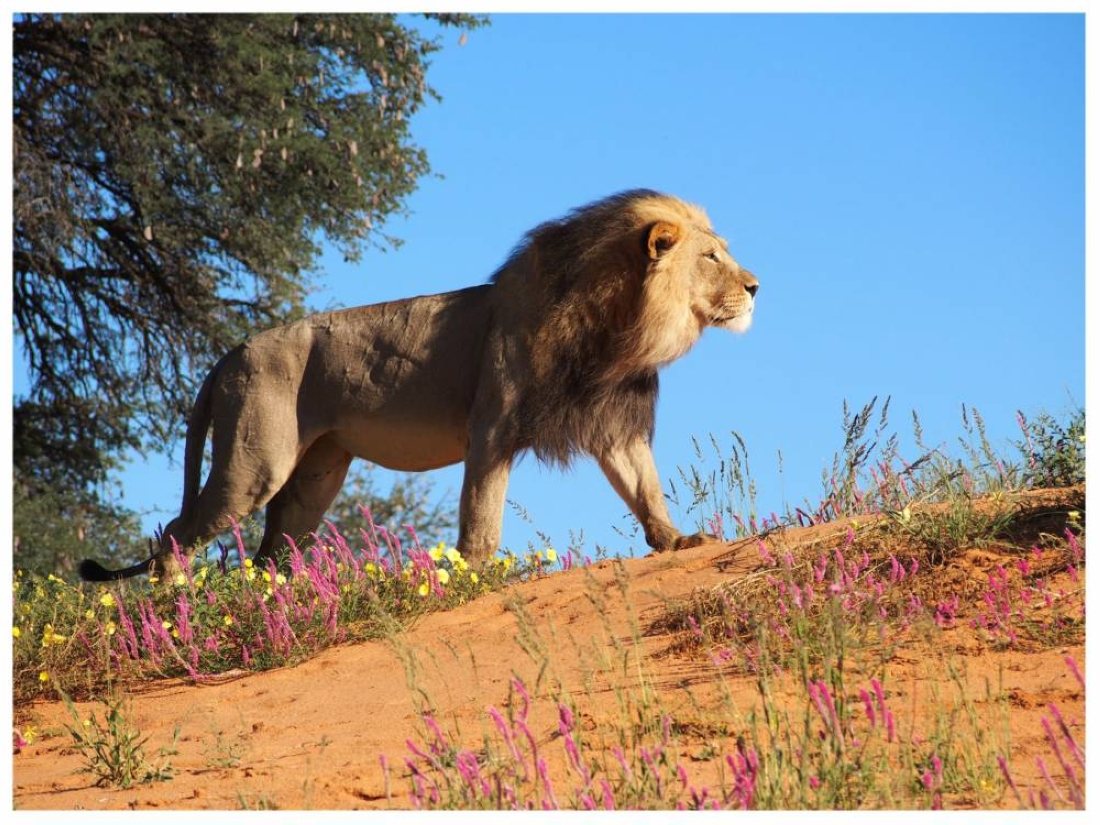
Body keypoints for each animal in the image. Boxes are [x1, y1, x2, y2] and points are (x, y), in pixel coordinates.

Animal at [79, 190, 759, 581]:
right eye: (711, 258)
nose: (757, 286)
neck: (621, 326)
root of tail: (227, 354)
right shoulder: (493, 426)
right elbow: (482, 515)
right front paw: (477, 577)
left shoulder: (612, 424)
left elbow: (645, 489)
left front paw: (678, 541)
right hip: (255, 461)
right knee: (176, 534)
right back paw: (173, 612)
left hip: (317, 473)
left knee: (270, 555)